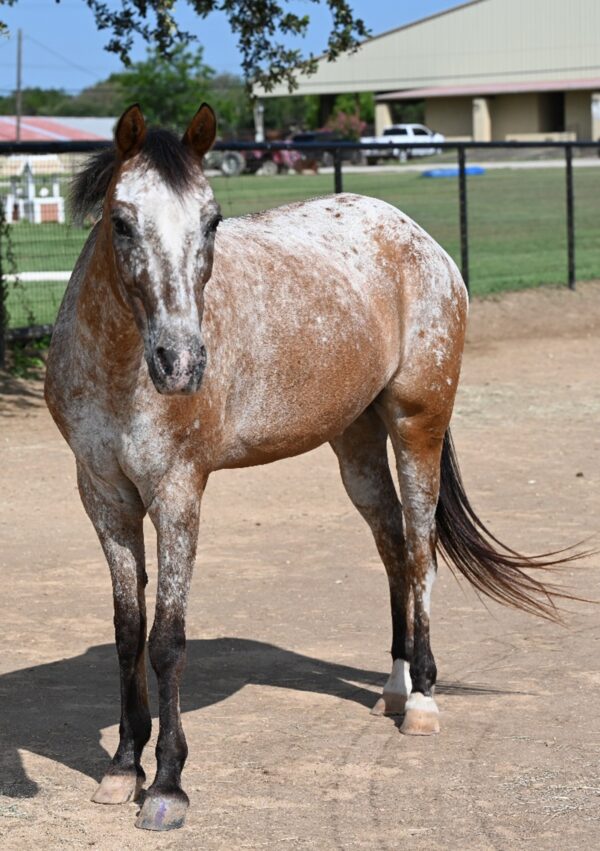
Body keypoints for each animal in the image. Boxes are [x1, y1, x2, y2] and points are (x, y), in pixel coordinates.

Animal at [44, 103, 576, 831]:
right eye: (122, 222)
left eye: (212, 221)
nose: (181, 363)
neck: (120, 366)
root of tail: (420, 240)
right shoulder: (103, 495)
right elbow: (129, 634)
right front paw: (124, 766)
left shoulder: (178, 493)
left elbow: (167, 639)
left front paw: (168, 784)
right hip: (356, 441)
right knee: (391, 545)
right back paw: (394, 684)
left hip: (417, 424)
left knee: (420, 550)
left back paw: (422, 700)